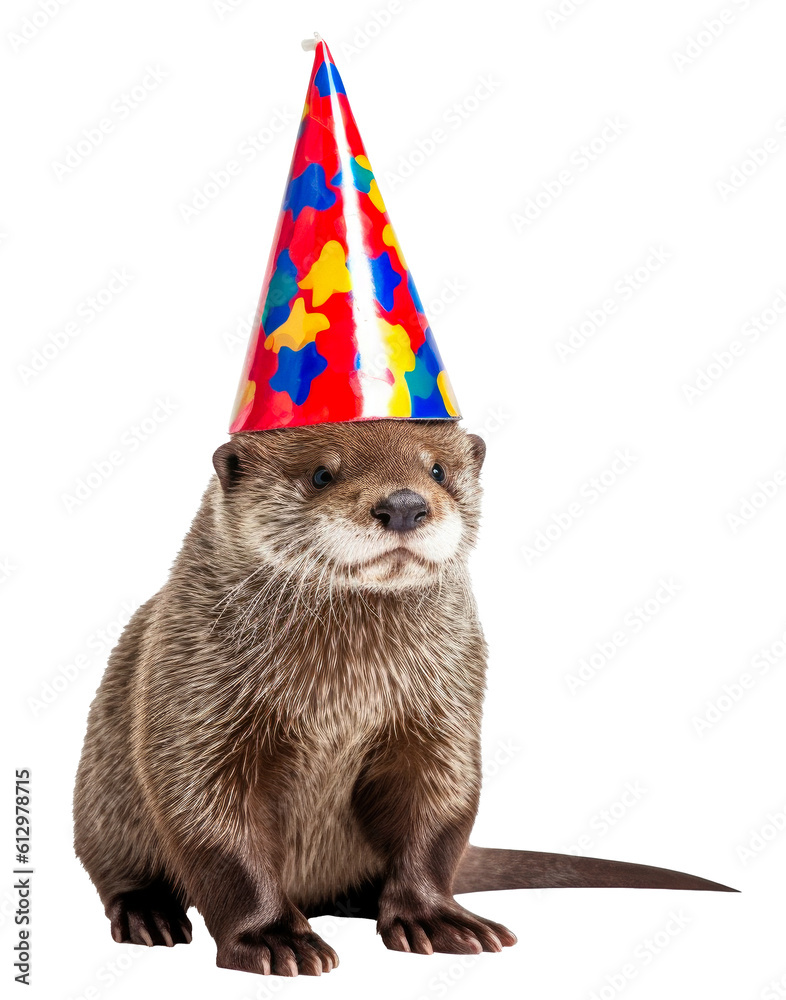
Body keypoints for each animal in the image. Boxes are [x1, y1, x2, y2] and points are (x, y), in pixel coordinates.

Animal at [73, 419, 735, 977]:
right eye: (322, 474)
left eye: (436, 470)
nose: (404, 504)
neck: (341, 692)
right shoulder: (192, 689)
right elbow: (210, 823)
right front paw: (274, 939)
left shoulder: (444, 708)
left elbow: (438, 808)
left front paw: (436, 920)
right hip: (100, 805)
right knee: (113, 865)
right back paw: (150, 914)